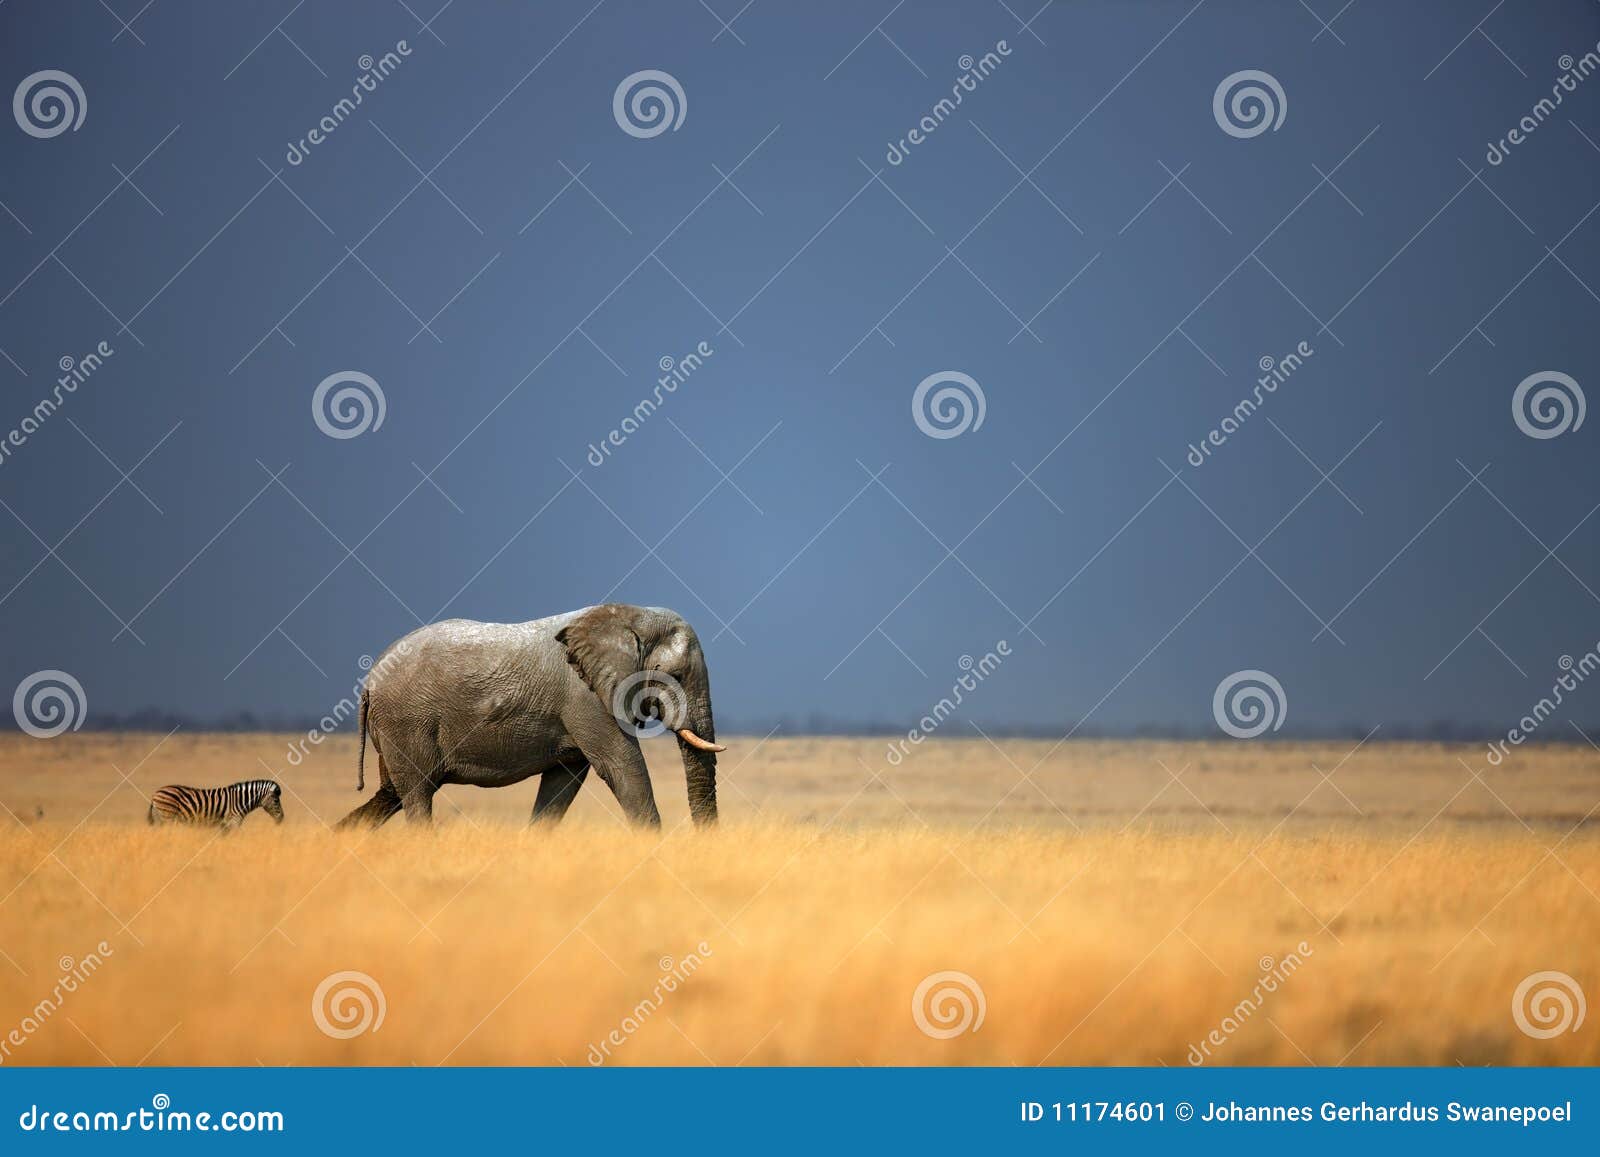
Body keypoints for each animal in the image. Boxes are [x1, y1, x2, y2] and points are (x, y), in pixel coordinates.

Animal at [147, 780, 284, 830]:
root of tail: (155, 793)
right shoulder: (234, 821)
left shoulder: (225, 825)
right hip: (168, 817)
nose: (282, 818)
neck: (240, 800)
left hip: (162, 819)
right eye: (276, 801)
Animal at [334, 604, 724, 831]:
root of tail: (368, 683)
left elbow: (563, 782)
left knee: (391, 794)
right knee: (416, 795)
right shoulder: (585, 699)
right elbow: (621, 766)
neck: (629, 614)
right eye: (673, 674)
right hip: (406, 721)